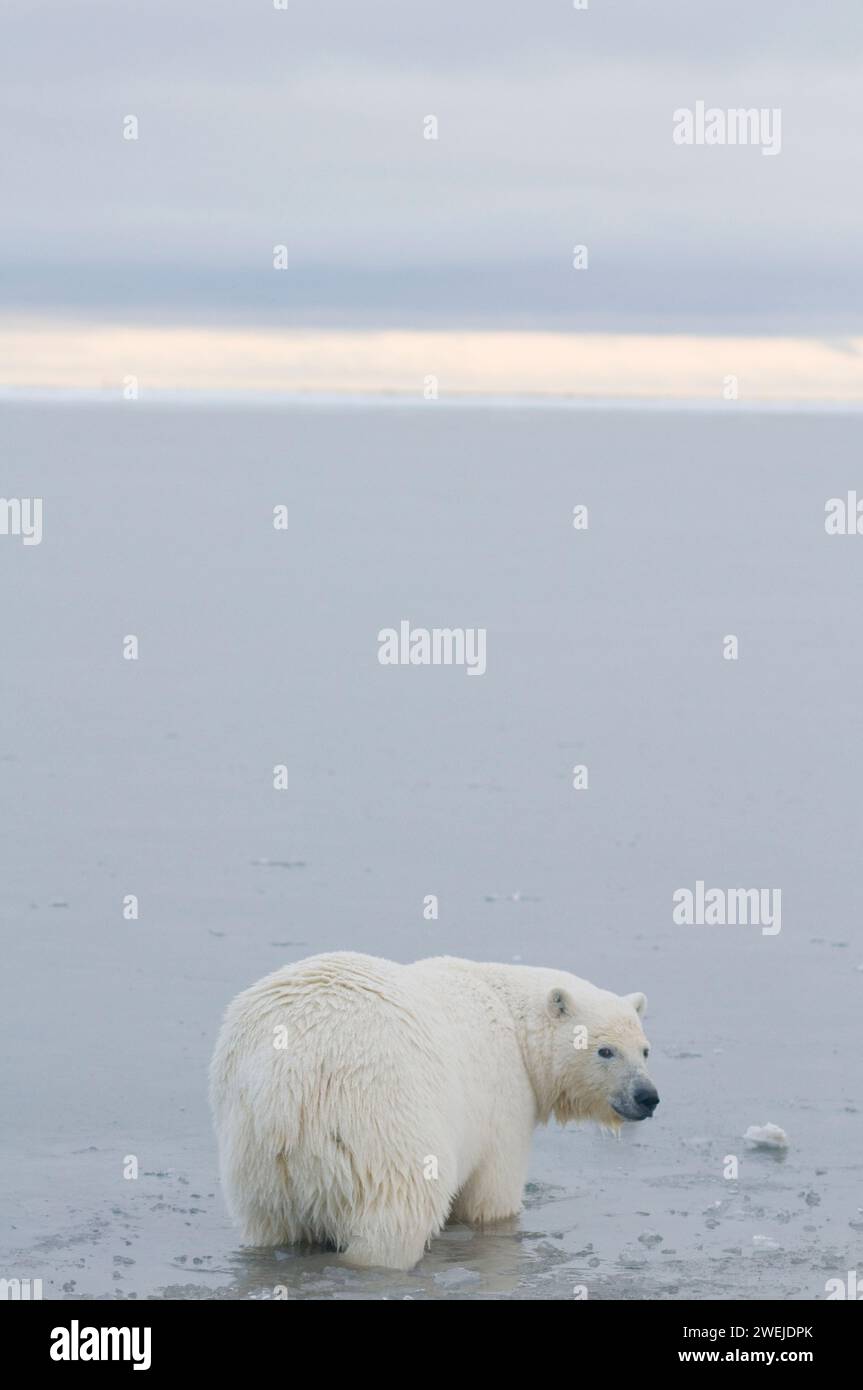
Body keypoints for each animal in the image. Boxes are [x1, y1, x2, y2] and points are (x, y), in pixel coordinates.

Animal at [209, 951, 658, 1271]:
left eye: (644, 1049)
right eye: (605, 1051)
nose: (647, 1097)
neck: (511, 1016)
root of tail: (286, 1075)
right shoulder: (504, 1096)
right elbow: (490, 1195)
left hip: (256, 1154)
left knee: (270, 1224)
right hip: (380, 1120)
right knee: (397, 1217)